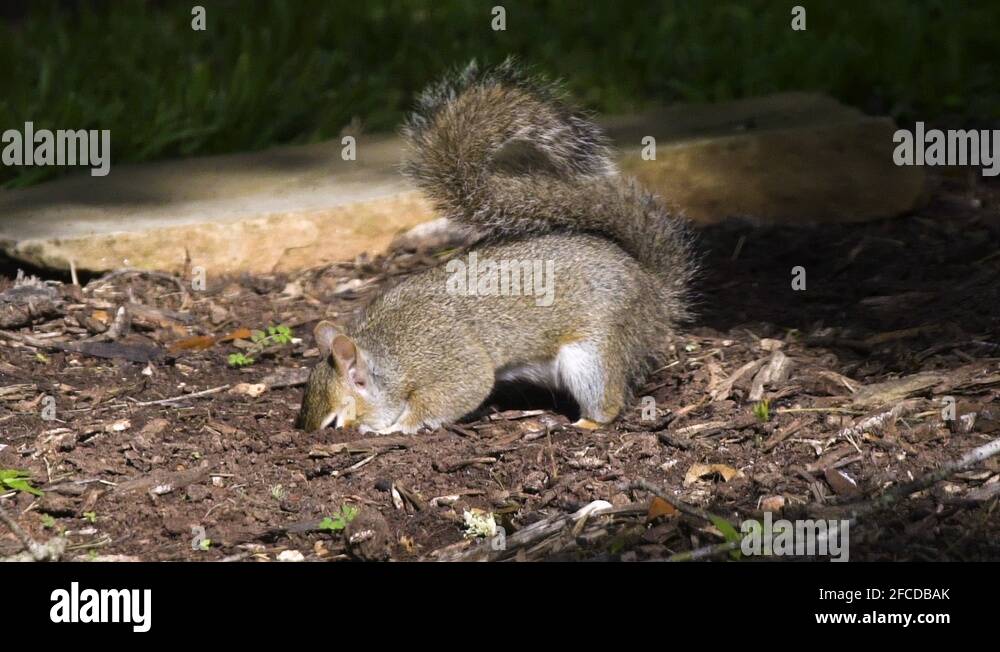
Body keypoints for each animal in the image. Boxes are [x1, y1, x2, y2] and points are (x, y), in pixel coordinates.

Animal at [296, 59, 694, 434]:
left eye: (334, 422)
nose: (316, 436)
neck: (386, 354)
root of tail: (654, 290)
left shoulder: (448, 361)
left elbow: (459, 390)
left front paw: (396, 426)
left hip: (593, 353)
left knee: (607, 400)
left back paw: (586, 422)